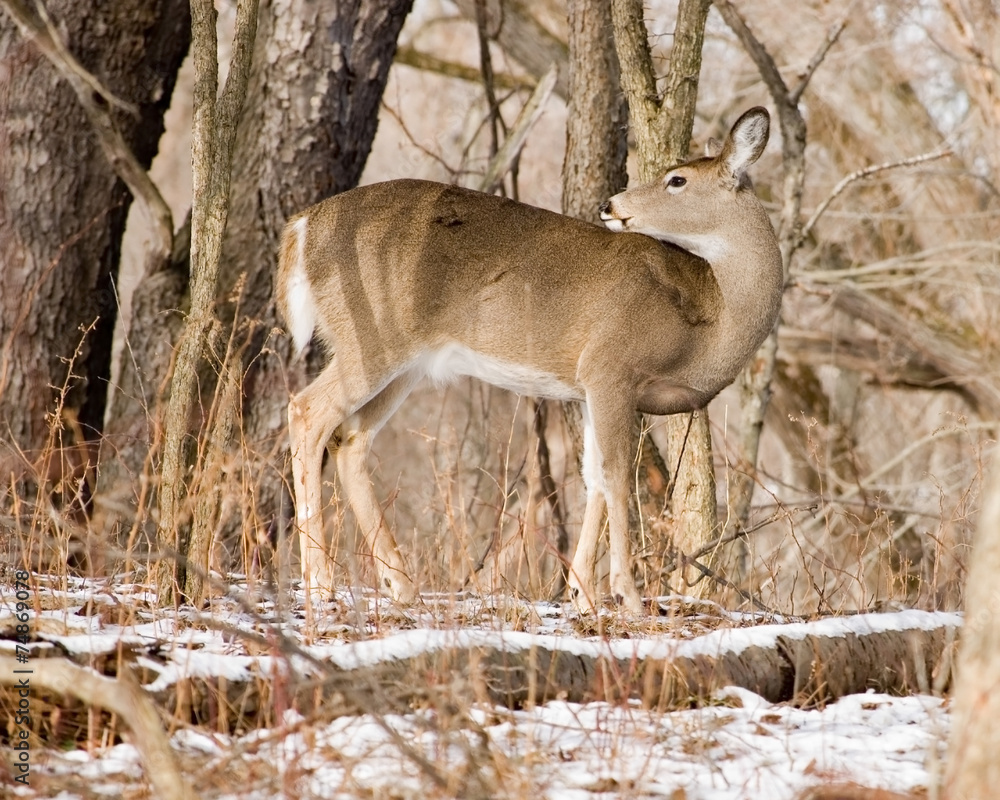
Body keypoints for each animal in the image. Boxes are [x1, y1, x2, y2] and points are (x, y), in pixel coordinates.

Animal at [276, 106, 783, 614]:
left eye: (677, 179)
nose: (610, 204)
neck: (712, 318)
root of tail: (302, 225)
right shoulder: (610, 365)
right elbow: (618, 476)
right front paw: (628, 595)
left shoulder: (591, 384)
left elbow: (593, 477)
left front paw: (582, 591)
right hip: (374, 335)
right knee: (308, 411)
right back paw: (320, 582)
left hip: (406, 360)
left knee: (352, 439)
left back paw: (400, 584)